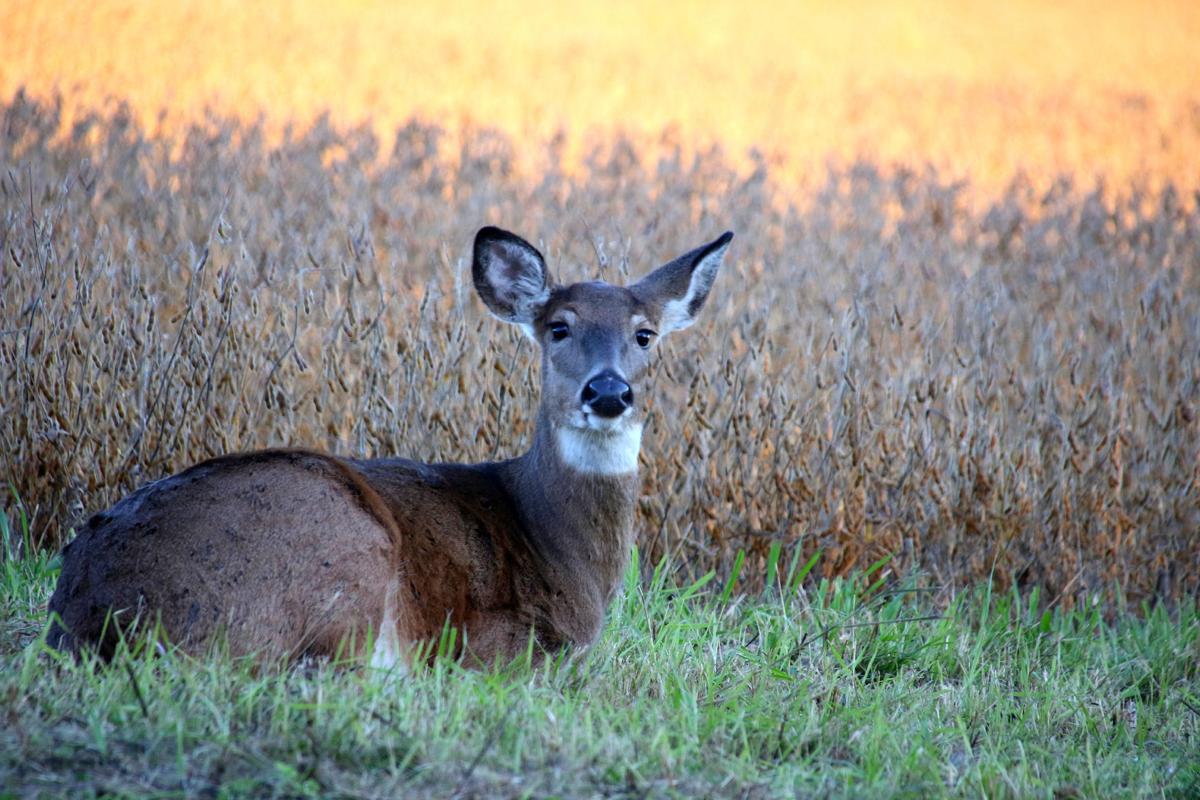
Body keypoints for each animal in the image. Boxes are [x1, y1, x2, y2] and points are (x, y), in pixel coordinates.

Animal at [47, 226, 734, 669]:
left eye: (645, 334)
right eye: (558, 327)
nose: (609, 391)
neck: (556, 542)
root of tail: (87, 617)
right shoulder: (498, 644)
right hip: (343, 546)